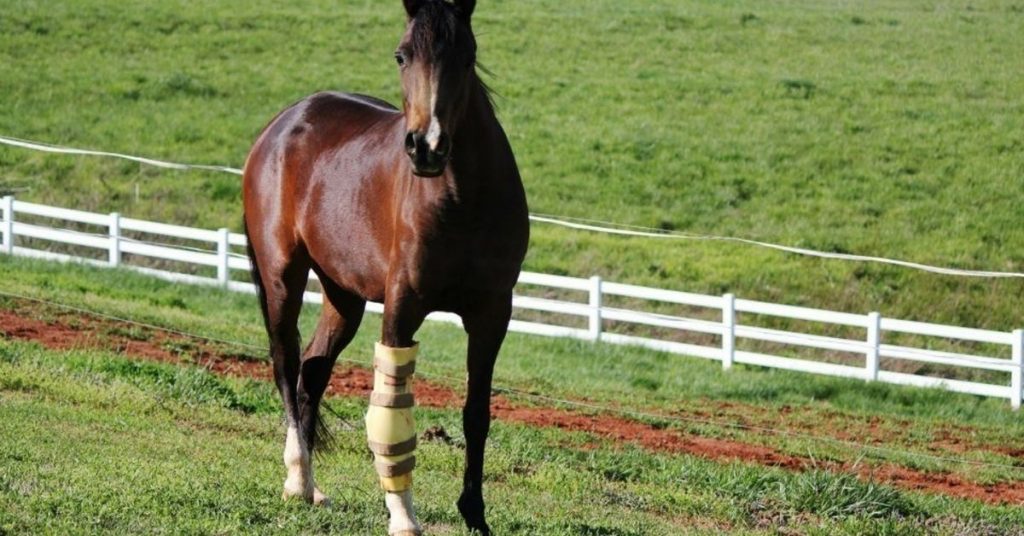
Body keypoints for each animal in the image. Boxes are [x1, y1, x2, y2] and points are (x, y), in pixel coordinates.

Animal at [241, 0, 528, 534]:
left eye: (467, 56)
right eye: (401, 55)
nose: (427, 146)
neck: (463, 200)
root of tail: (283, 124)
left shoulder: (492, 313)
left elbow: (477, 413)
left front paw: (474, 513)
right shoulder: (403, 306)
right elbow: (391, 410)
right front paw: (402, 515)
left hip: (343, 295)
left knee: (312, 369)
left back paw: (310, 487)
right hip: (282, 278)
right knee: (286, 364)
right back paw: (298, 479)